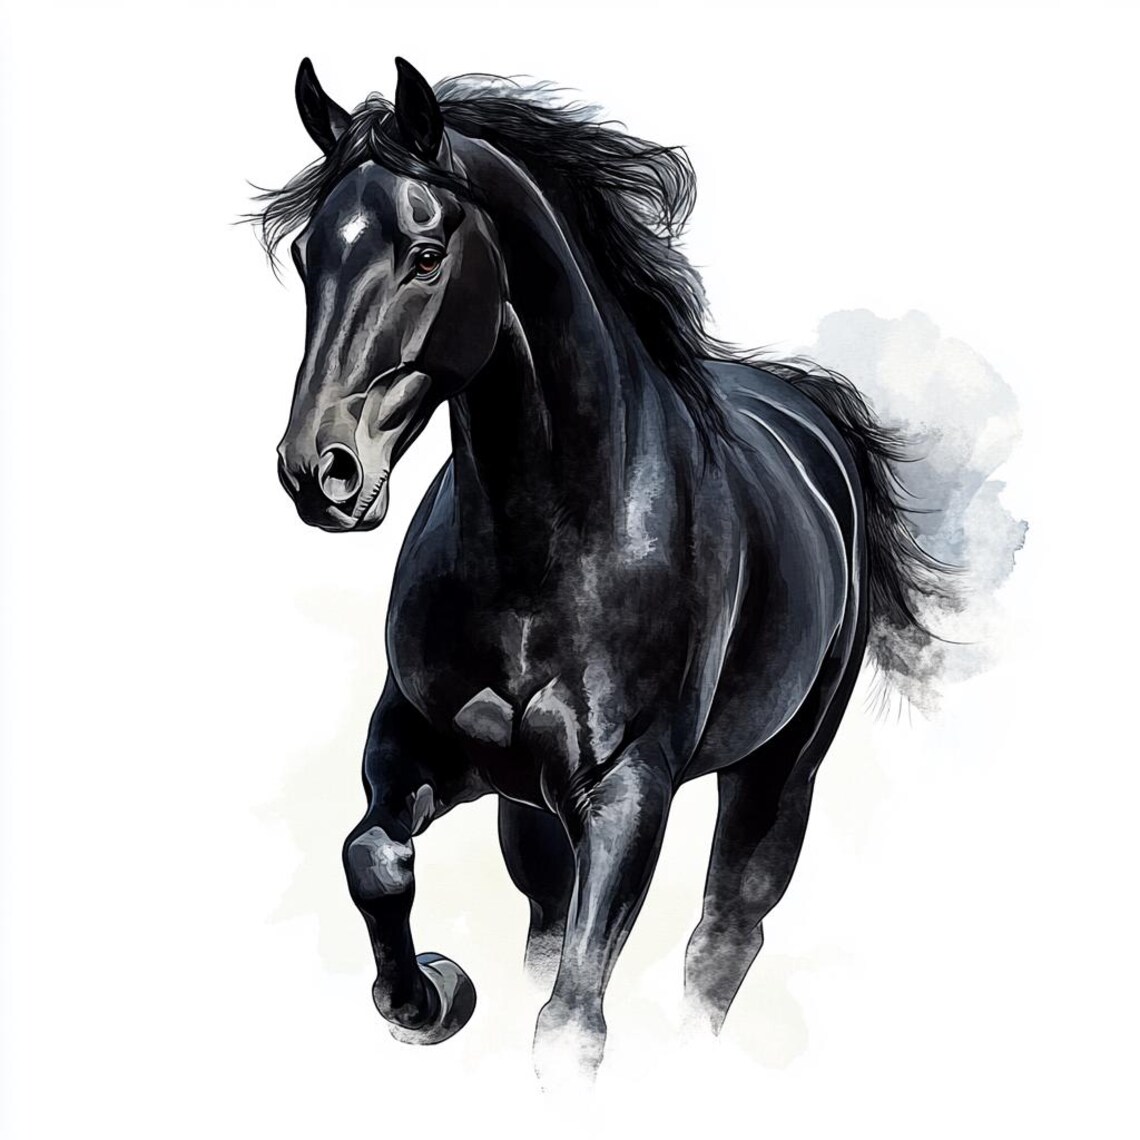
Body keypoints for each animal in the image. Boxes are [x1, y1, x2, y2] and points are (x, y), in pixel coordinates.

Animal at [252, 57, 949, 1082]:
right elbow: (374, 861)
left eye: (425, 254)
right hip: (532, 810)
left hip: (780, 771)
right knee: (551, 923)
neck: (546, 552)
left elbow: (572, 1025)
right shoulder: (425, 746)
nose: (320, 472)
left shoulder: (627, 792)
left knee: (723, 938)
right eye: (308, 255)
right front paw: (427, 998)